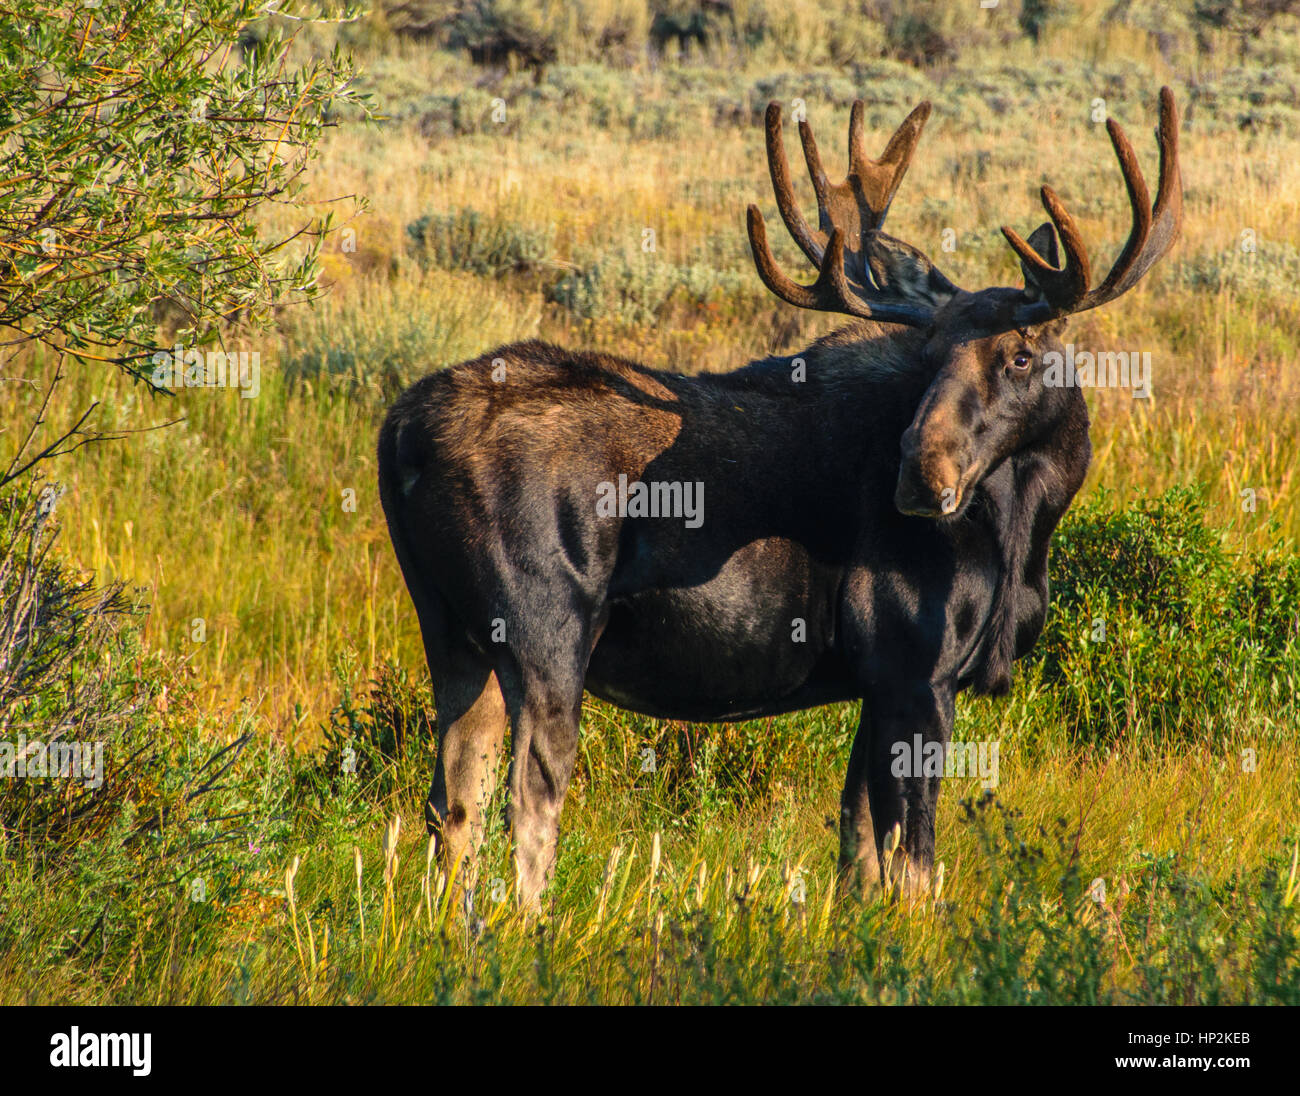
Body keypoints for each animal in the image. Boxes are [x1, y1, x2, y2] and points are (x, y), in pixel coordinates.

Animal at [378, 88, 1182, 908]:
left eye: (1020, 356)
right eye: (926, 355)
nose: (917, 479)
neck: (1024, 529)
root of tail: (399, 431)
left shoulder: (877, 681)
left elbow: (859, 851)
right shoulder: (915, 668)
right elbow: (915, 866)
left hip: (452, 637)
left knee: (453, 806)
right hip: (546, 635)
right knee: (528, 808)